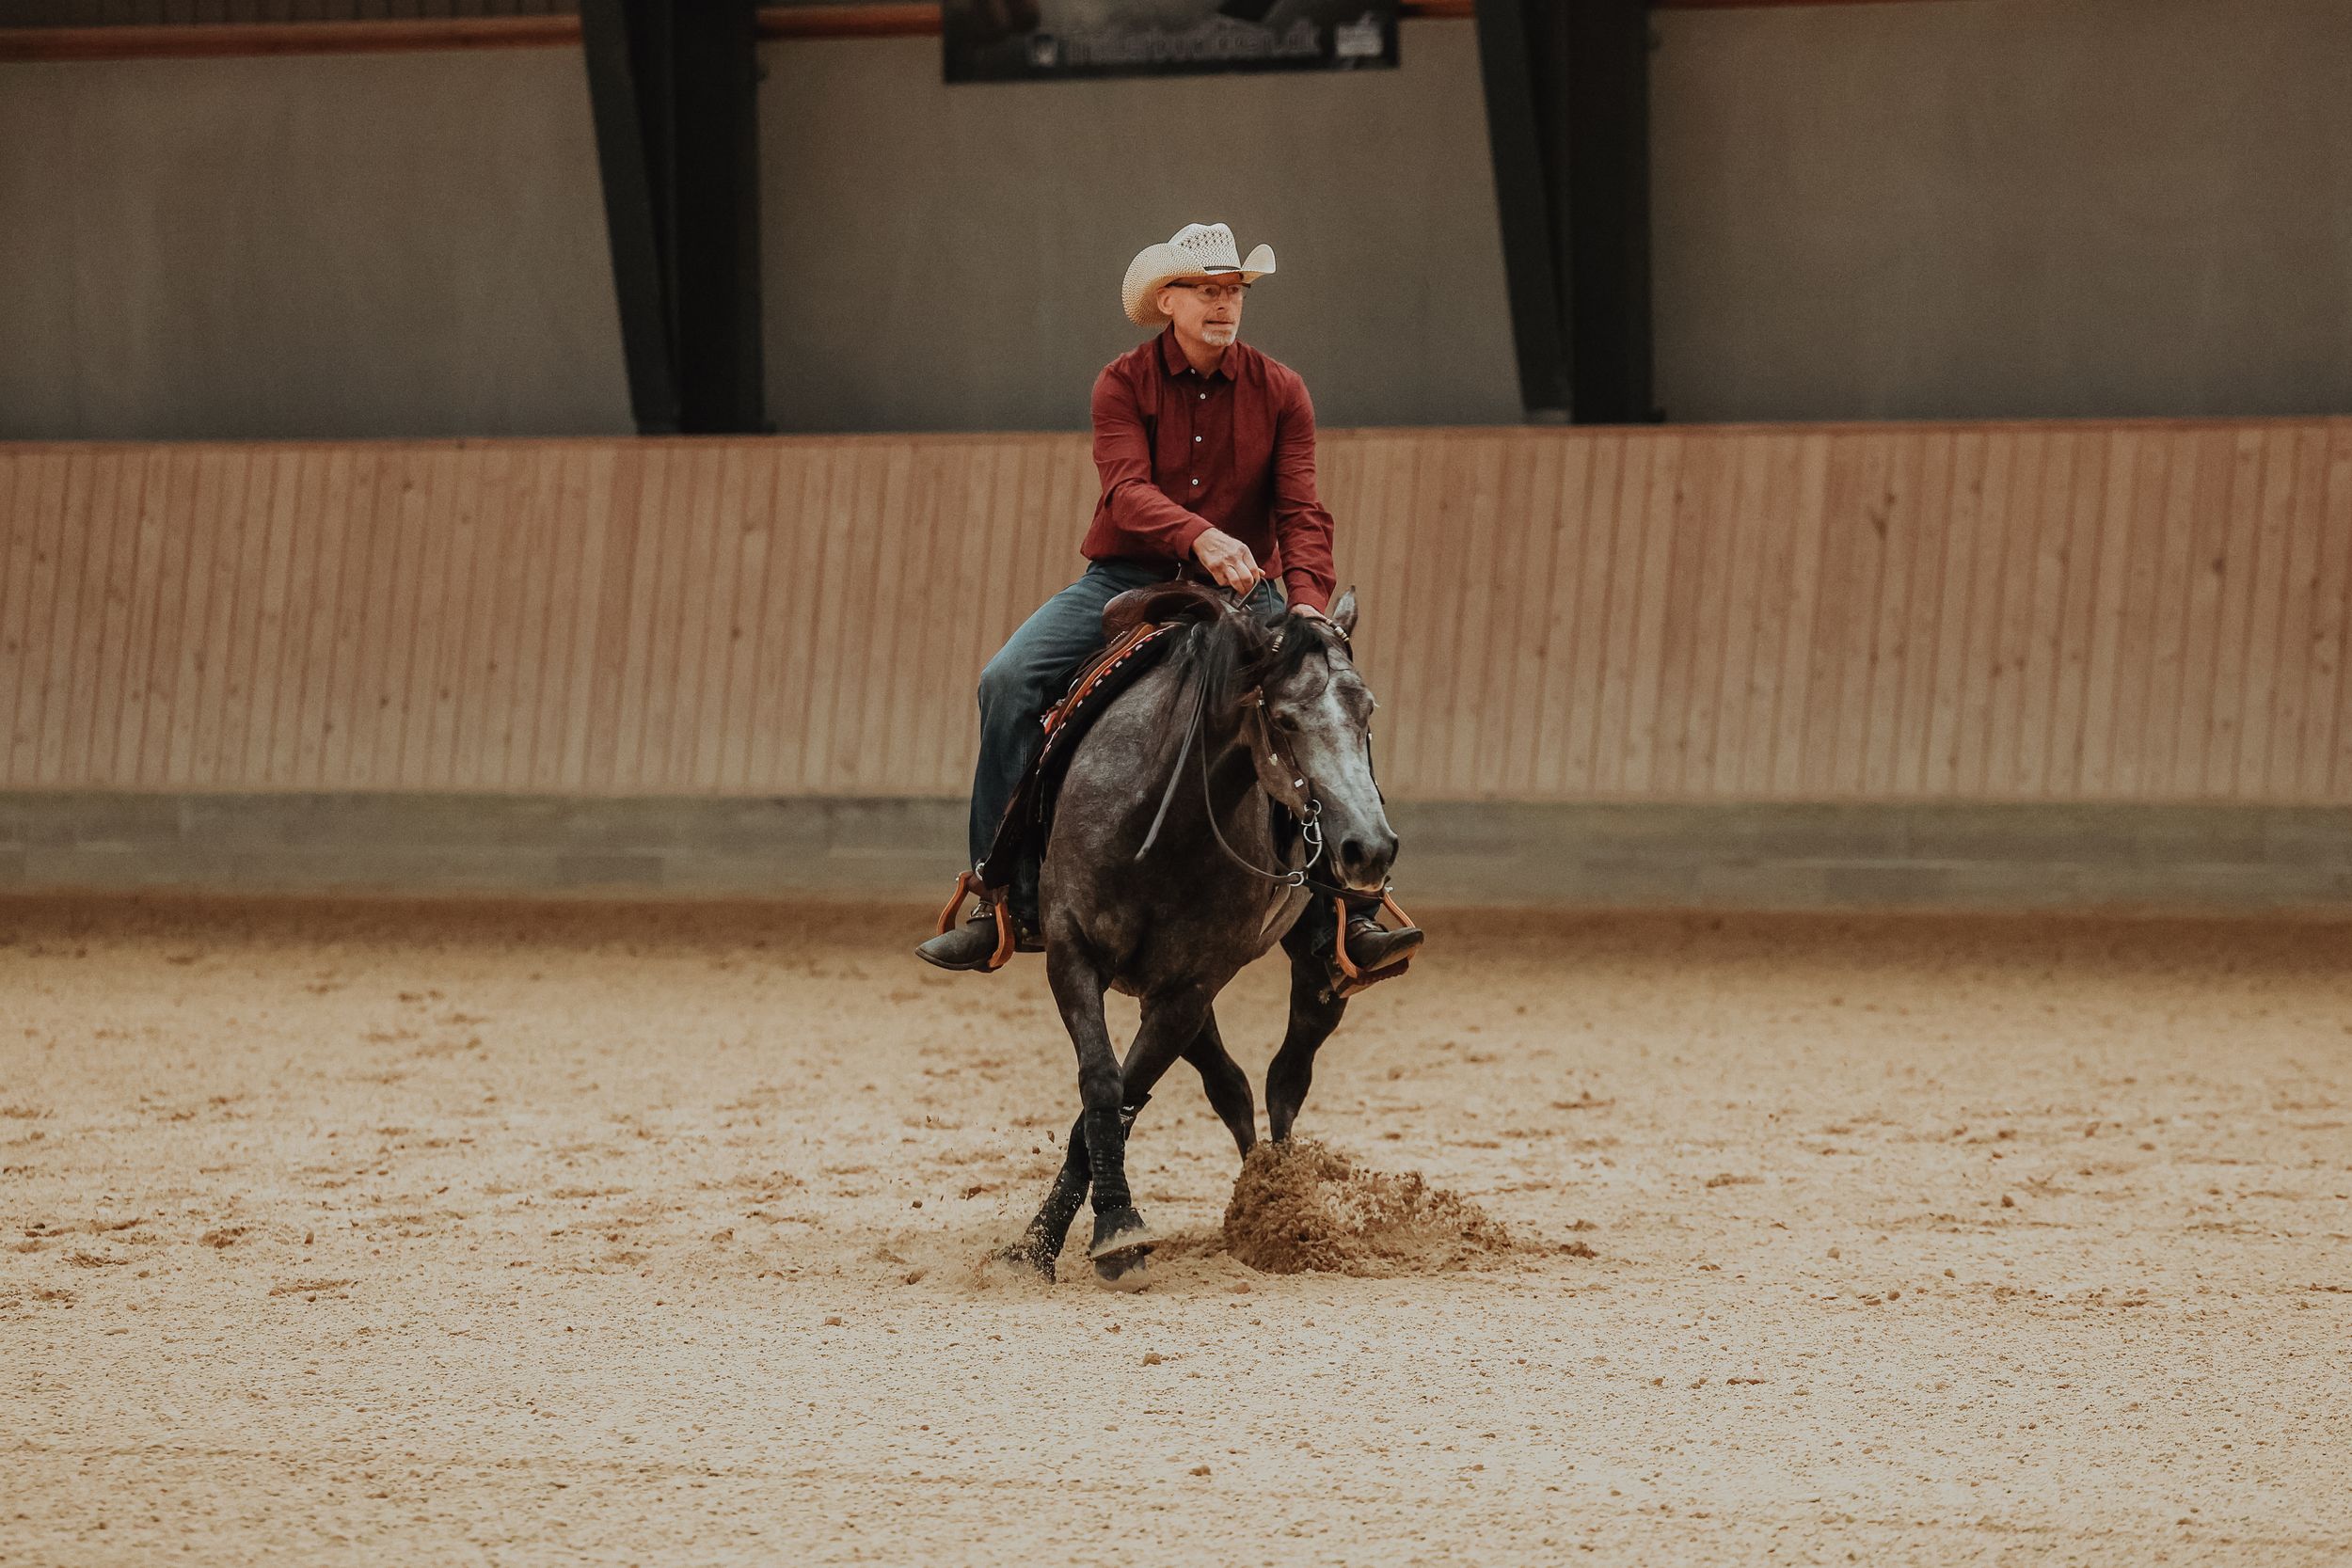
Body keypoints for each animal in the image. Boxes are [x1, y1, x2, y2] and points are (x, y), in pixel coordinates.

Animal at [999, 580, 1396, 1289]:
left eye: (1367, 710)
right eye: (1285, 719)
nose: (1369, 849)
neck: (1159, 823)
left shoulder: (1189, 985)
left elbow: (1121, 1096)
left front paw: (1111, 1231)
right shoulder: (1074, 955)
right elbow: (1104, 1085)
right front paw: (1051, 1241)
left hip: (1308, 979)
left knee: (1285, 1077)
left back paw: (1279, 1198)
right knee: (1229, 1084)